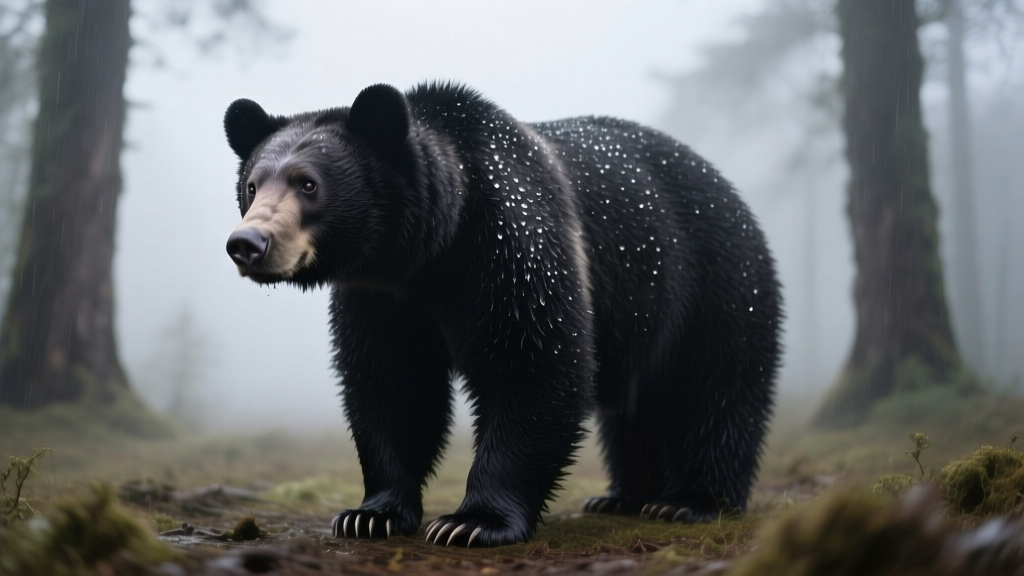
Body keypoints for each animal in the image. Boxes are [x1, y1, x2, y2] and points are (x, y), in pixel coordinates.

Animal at [223, 82, 782, 547]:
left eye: (308, 184)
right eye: (252, 185)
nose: (246, 244)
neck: (431, 249)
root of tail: (729, 188)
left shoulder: (512, 239)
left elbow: (534, 363)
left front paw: (471, 522)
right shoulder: (382, 296)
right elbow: (393, 384)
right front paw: (370, 514)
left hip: (716, 279)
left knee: (718, 388)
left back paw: (689, 502)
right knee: (637, 407)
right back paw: (623, 496)